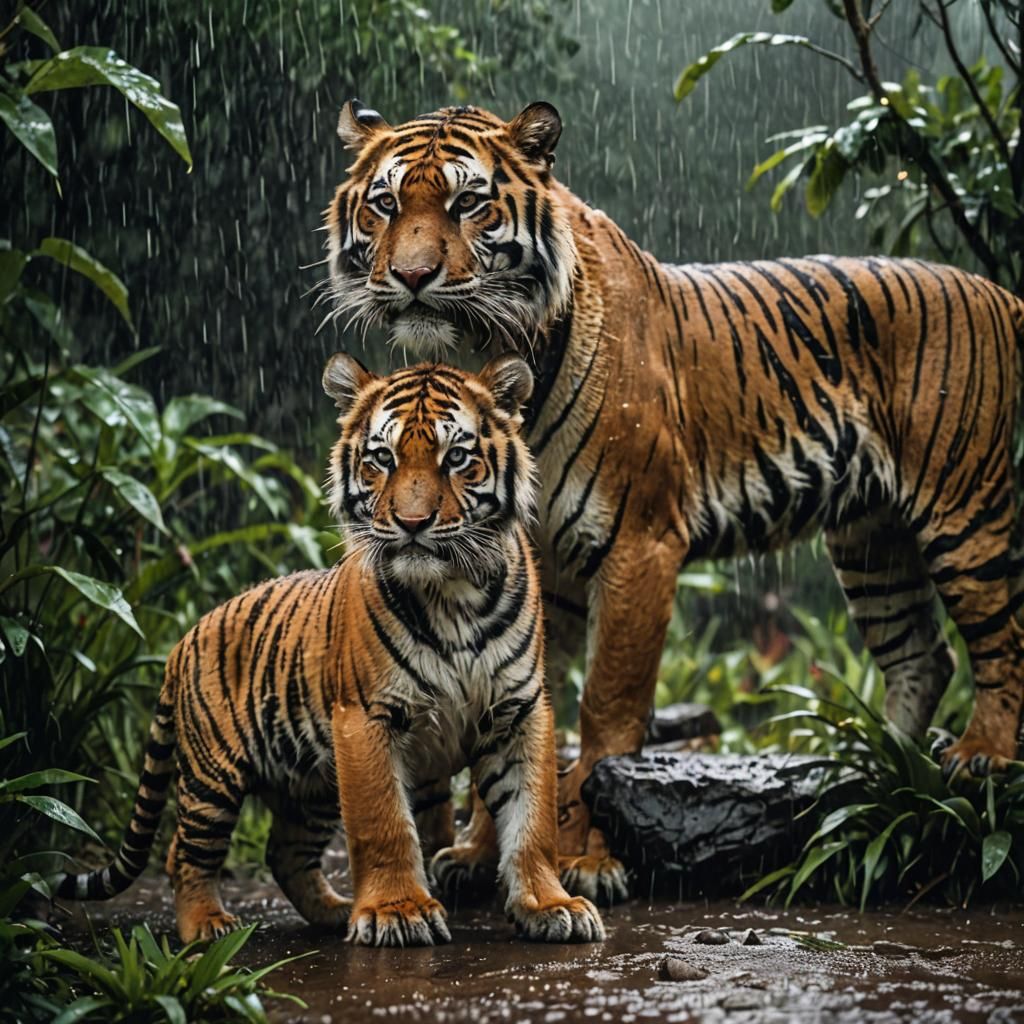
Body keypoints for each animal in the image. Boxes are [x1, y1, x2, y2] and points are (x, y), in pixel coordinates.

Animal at [55, 354, 605, 947]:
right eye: (383, 458)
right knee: (184, 852)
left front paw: (550, 905)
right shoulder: (368, 717)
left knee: (285, 853)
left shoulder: (519, 712)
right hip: (214, 775)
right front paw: (398, 911)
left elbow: (532, 821)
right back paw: (209, 926)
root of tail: (185, 636)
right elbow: (384, 822)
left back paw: (335, 911)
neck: (454, 594)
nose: (413, 524)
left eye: (456, 457)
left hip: (310, 784)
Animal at [323, 98, 1024, 904]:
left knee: (1001, 634)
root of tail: (997, 294)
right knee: (920, 654)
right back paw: (881, 776)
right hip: (869, 537)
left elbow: (607, 710)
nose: (412, 277)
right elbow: (516, 709)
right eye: (385, 203)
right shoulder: (532, 564)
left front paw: (589, 859)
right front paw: (475, 853)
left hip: (961, 503)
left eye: (467, 202)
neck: (479, 352)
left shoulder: (639, 542)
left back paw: (981, 755)